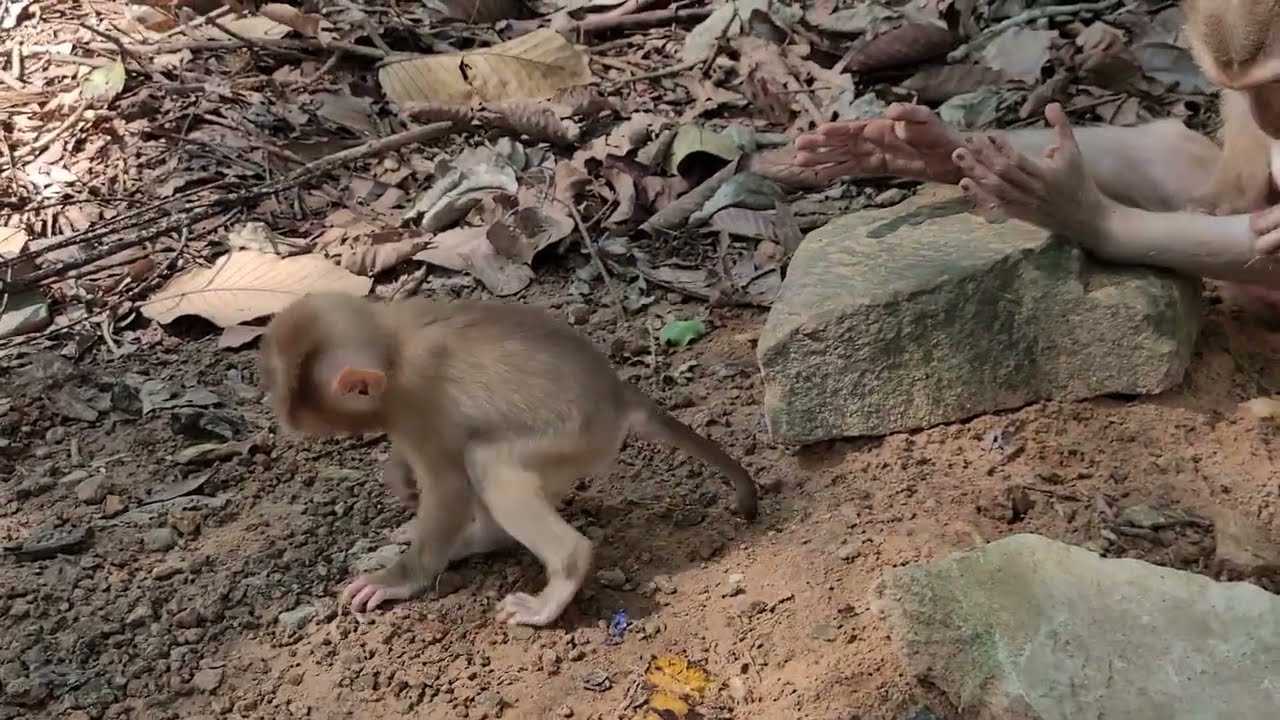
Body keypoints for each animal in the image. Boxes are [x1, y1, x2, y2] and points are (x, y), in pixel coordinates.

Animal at [259, 292, 758, 627]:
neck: (392, 338)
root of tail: (618, 397)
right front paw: (398, 474)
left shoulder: (412, 401)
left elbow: (448, 487)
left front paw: (398, 578)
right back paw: (480, 539)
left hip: (575, 438)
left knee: (486, 460)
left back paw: (555, 584)